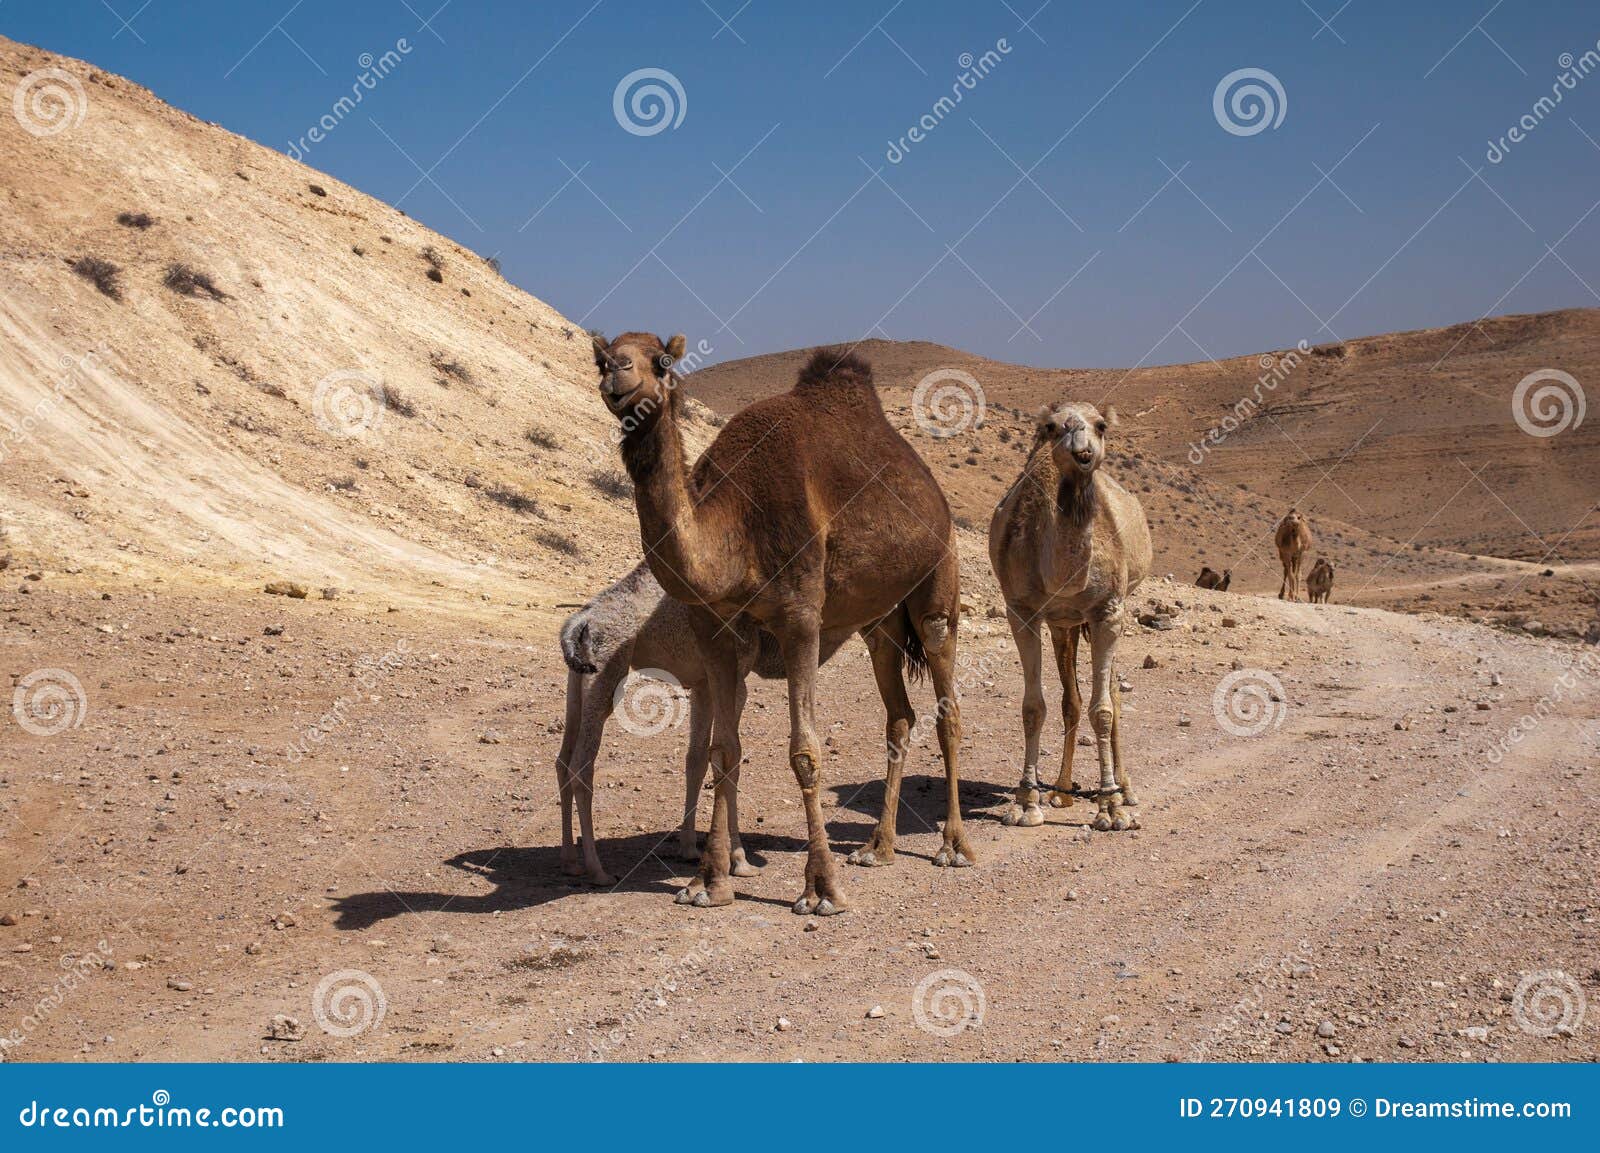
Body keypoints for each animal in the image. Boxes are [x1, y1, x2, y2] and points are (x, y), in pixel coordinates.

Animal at [594, 333, 971, 915]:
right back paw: (878, 847)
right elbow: (723, 750)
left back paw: (952, 846)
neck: (735, 526)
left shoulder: (800, 618)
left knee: (945, 707)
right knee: (900, 716)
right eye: (602, 357)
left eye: (662, 359)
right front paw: (709, 882)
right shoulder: (714, 630)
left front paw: (822, 889)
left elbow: (805, 753)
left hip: (937, 586)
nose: (618, 373)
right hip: (880, 622)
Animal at [989, 401, 1152, 832]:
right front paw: (1026, 800)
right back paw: (1061, 789)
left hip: (1104, 616)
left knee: (1110, 695)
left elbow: (1104, 709)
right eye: (1051, 426)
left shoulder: (1108, 611)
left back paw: (1125, 789)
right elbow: (1034, 707)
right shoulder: (1022, 611)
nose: (1083, 453)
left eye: (1101, 425)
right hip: (1064, 624)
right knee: (1071, 699)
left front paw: (1110, 806)